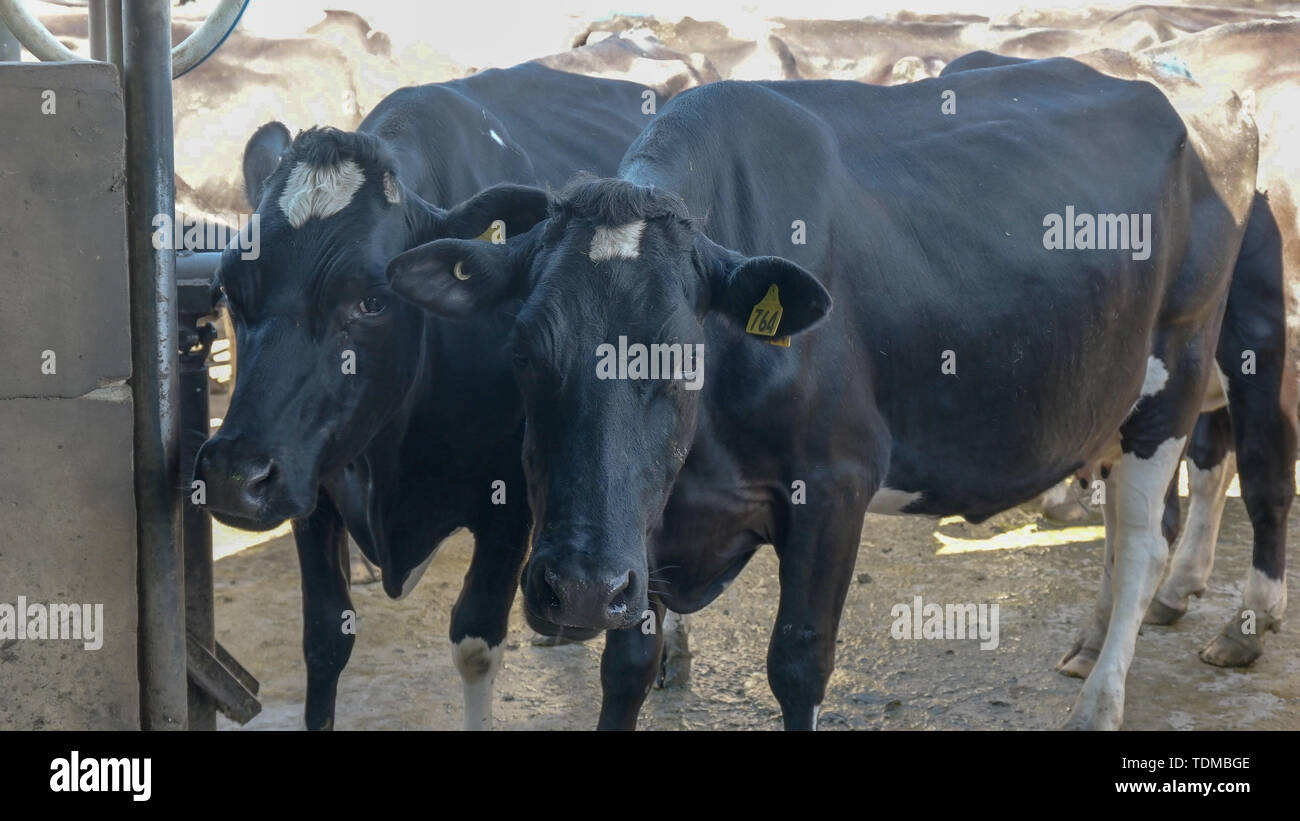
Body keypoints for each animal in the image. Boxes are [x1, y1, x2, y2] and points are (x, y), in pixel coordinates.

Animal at [194, 62, 660, 730]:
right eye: (229, 286)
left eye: (372, 300)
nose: (234, 475)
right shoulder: (314, 492)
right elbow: (324, 640)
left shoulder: (509, 505)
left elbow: (475, 642)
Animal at [385, 54, 1288, 729]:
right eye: (522, 352)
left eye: (681, 358)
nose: (572, 585)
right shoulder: (644, 529)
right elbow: (626, 664)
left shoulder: (836, 483)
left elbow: (799, 663)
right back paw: (1090, 641)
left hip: (1175, 374)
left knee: (1143, 540)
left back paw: (1106, 695)